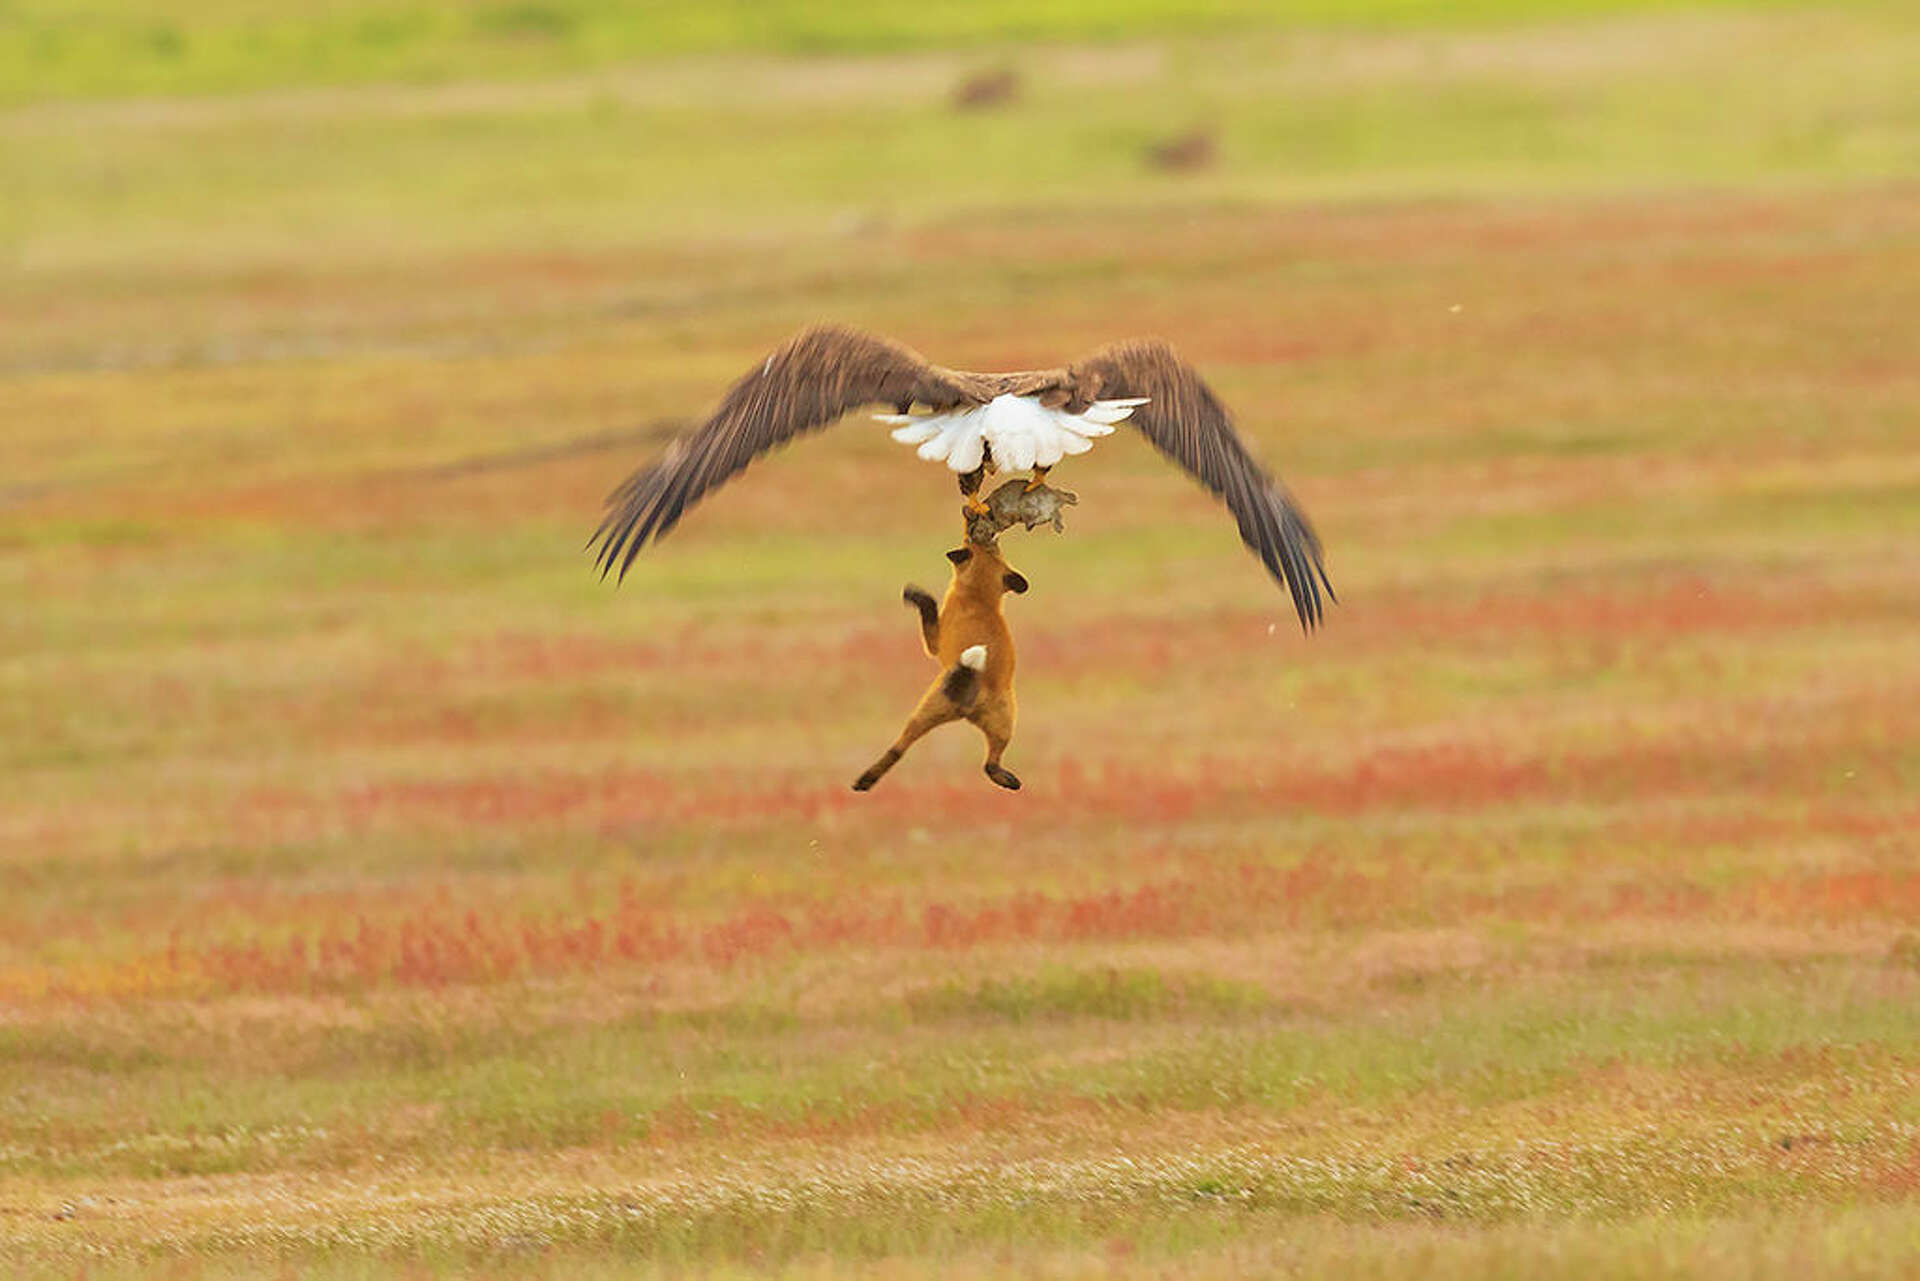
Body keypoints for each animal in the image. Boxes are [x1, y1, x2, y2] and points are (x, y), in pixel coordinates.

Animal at [852, 541, 1029, 792]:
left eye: (971, 544)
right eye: (996, 549)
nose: (975, 537)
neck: (978, 599)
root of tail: (970, 703)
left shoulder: (934, 643)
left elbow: (929, 605)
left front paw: (914, 594)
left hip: (923, 713)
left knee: (898, 749)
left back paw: (865, 780)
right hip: (1005, 724)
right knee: (990, 764)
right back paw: (1008, 780)